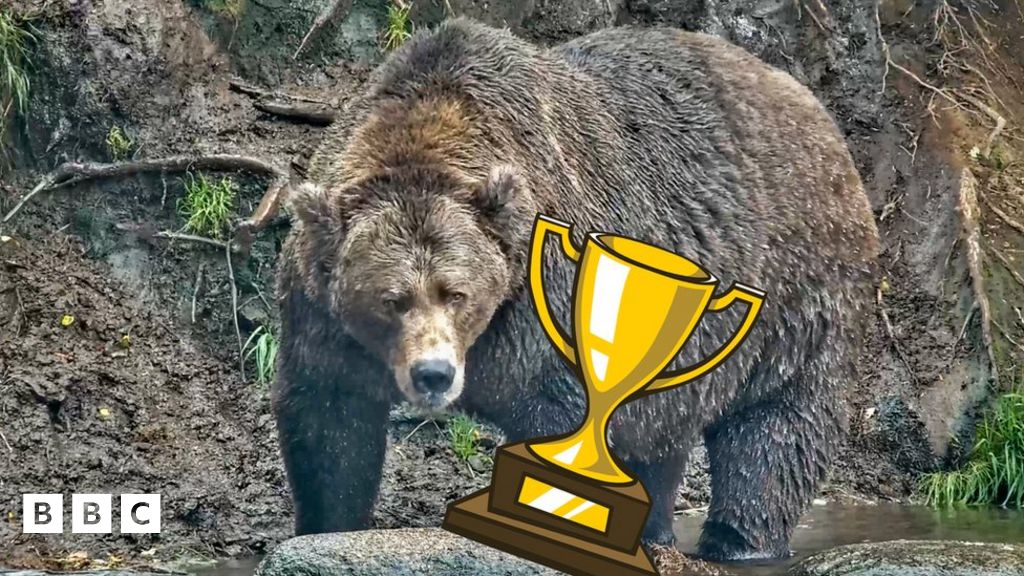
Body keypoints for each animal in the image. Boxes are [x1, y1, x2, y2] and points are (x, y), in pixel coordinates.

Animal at [272, 17, 880, 561]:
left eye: (456, 293)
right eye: (391, 300)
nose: (433, 374)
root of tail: (812, 106)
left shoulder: (544, 303)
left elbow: (561, 415)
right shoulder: (321, 312)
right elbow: (332, 424)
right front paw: (326, 528)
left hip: (795, 286)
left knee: (776, 421)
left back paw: (739, 540)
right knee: (662, 431)